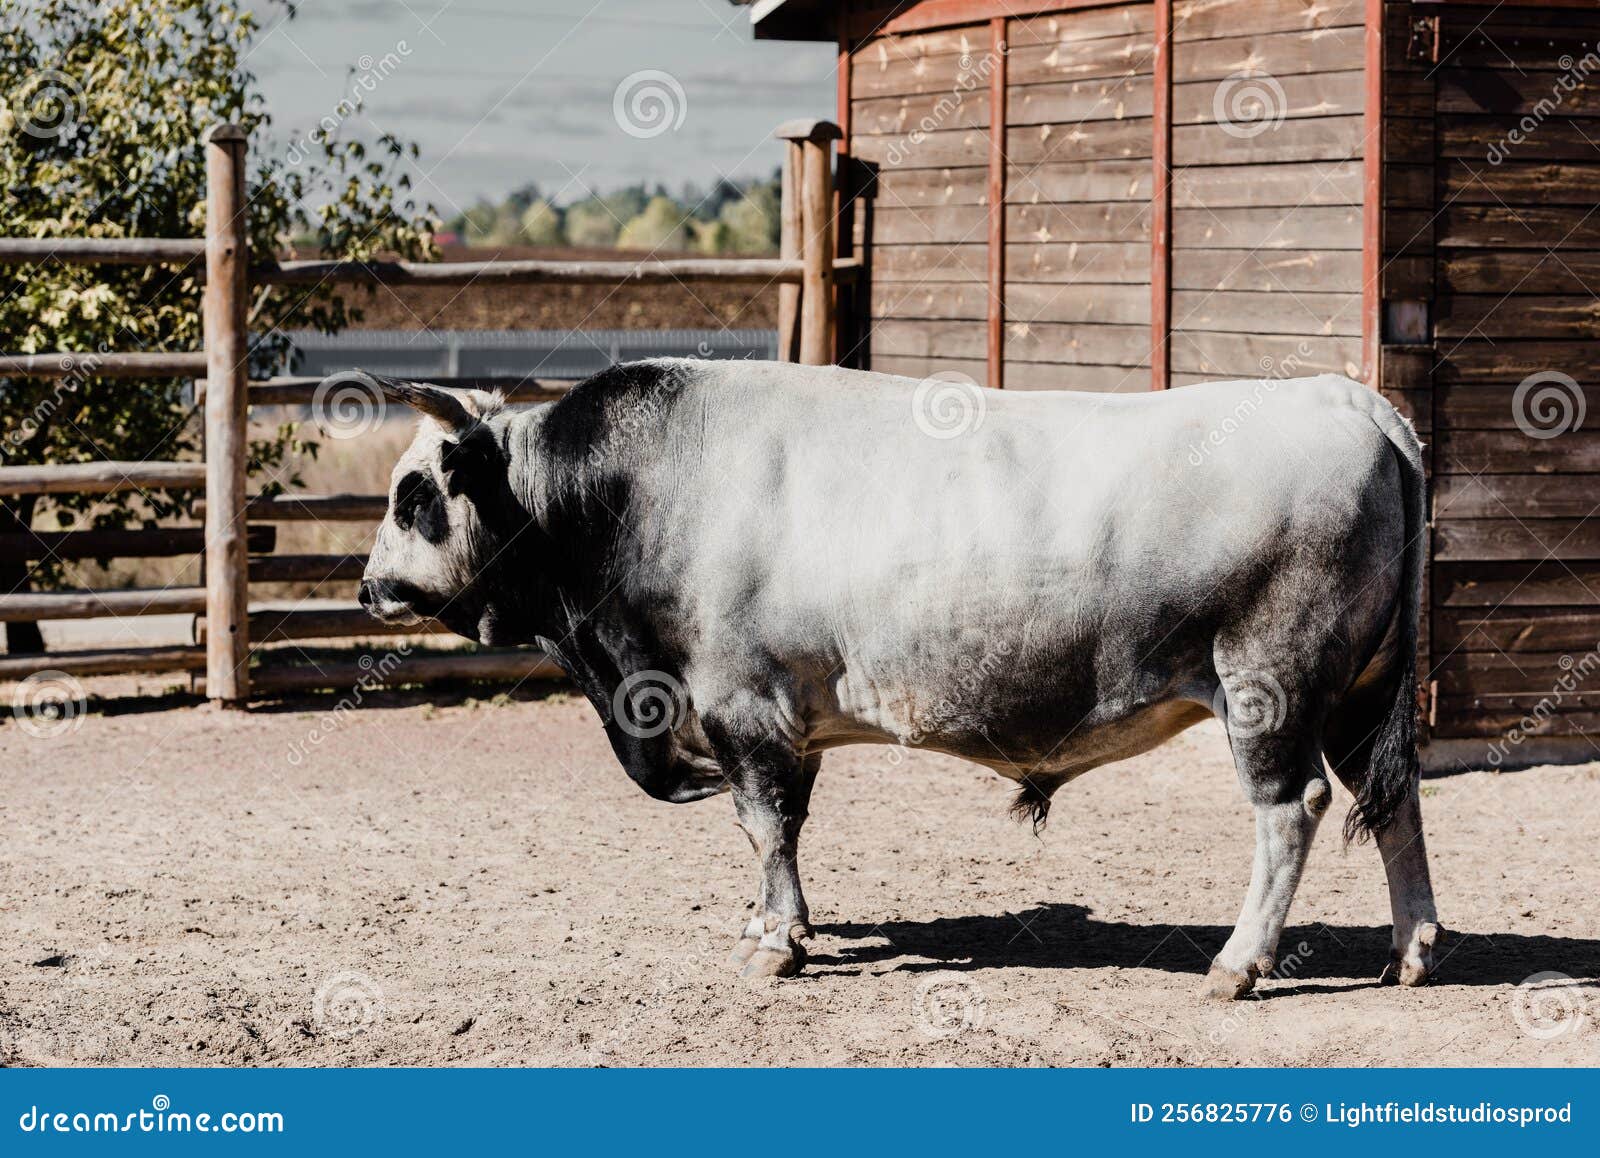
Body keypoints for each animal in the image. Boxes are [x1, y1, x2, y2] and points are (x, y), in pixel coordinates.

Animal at [348, 358, 1442, 999]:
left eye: (412, 493)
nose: (366, 586)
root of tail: (1343, 396)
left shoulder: (742, 703)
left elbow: (765, 825)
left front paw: (773, 942)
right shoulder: (781, 718)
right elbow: (780, 829)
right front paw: (776, 922)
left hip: (1269, 683)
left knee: (1291, 809)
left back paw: (1237, 963)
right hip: (1358, 696)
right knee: (1393, 804)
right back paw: (1412, 950)